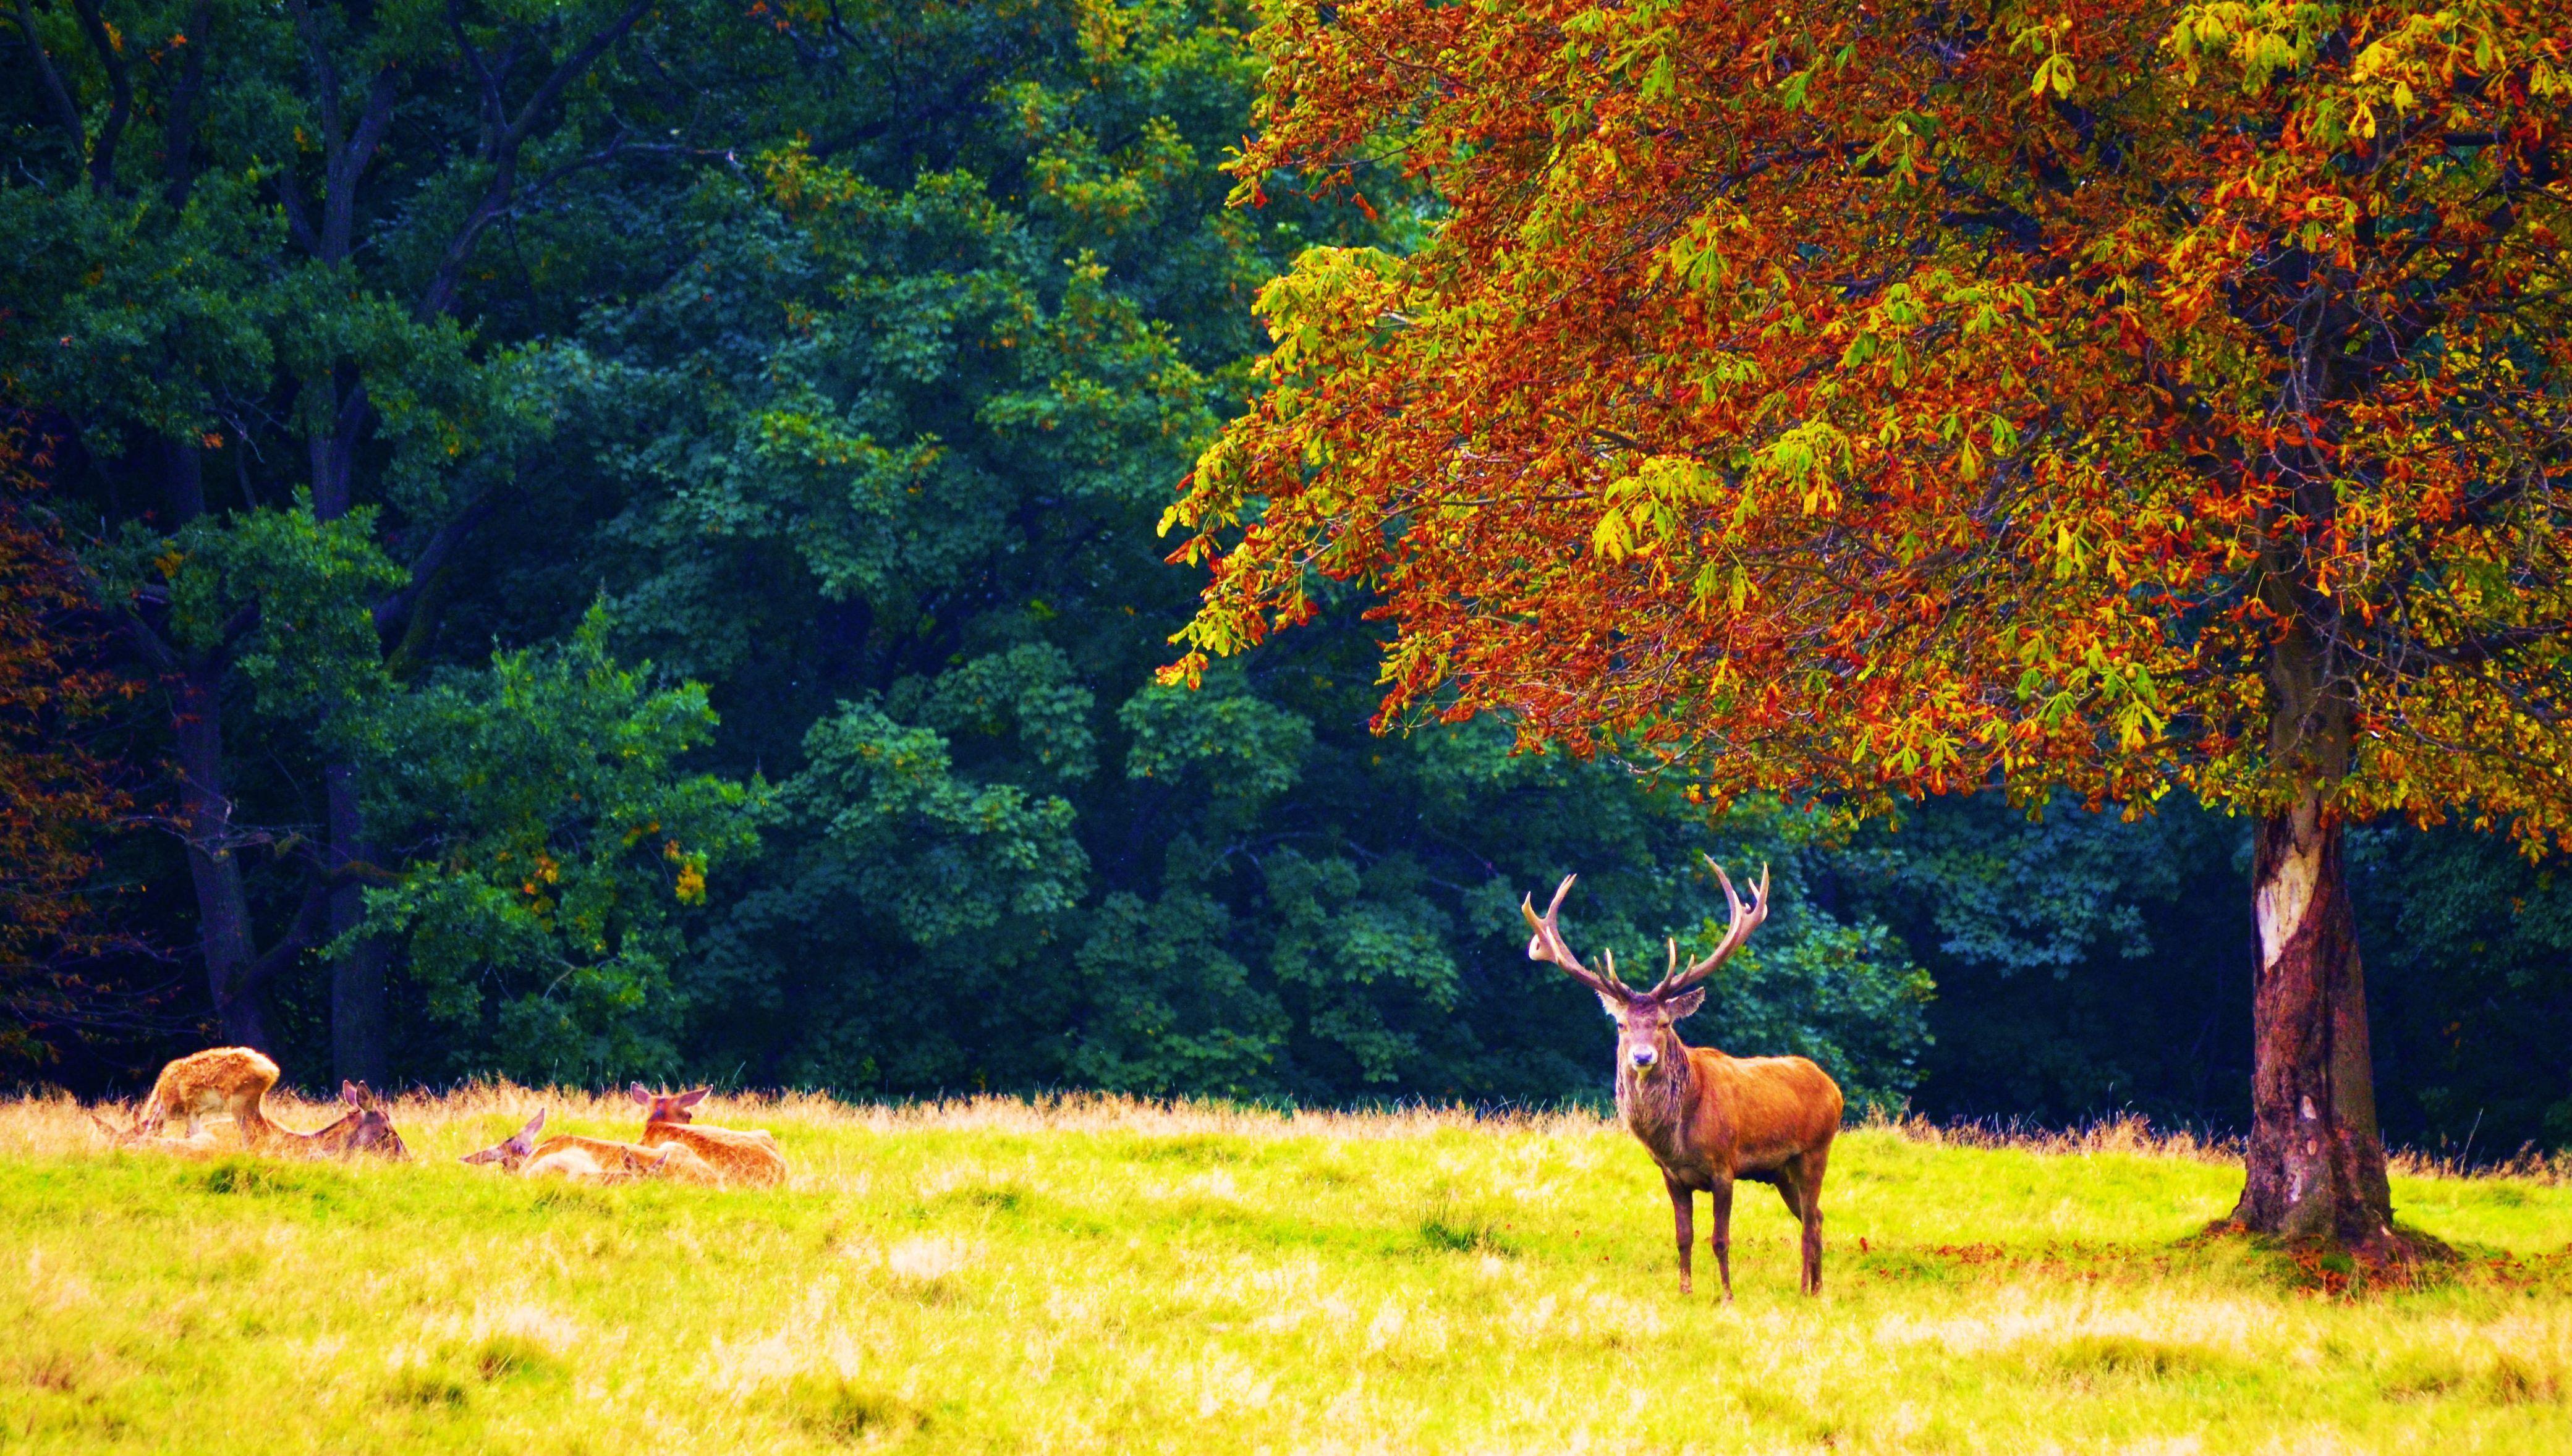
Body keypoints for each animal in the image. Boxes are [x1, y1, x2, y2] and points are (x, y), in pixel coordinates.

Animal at [1523, 860, 1843, 1299]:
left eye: (1664, 1023)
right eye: (1621, 1025)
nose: (1642, 1057)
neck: (1676, 1139)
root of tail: (1834, 1087)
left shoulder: (1725, 1166)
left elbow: (1720, 1239)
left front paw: (1726, 1296)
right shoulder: (1672, 1176)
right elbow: (1683, 1236)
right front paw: (1685, 1292)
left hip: (1816, 1151)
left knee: (1811, 1222)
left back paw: (1812, 1292)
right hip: (1781, 1171)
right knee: (1819, 1217)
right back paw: (1810, 1288)